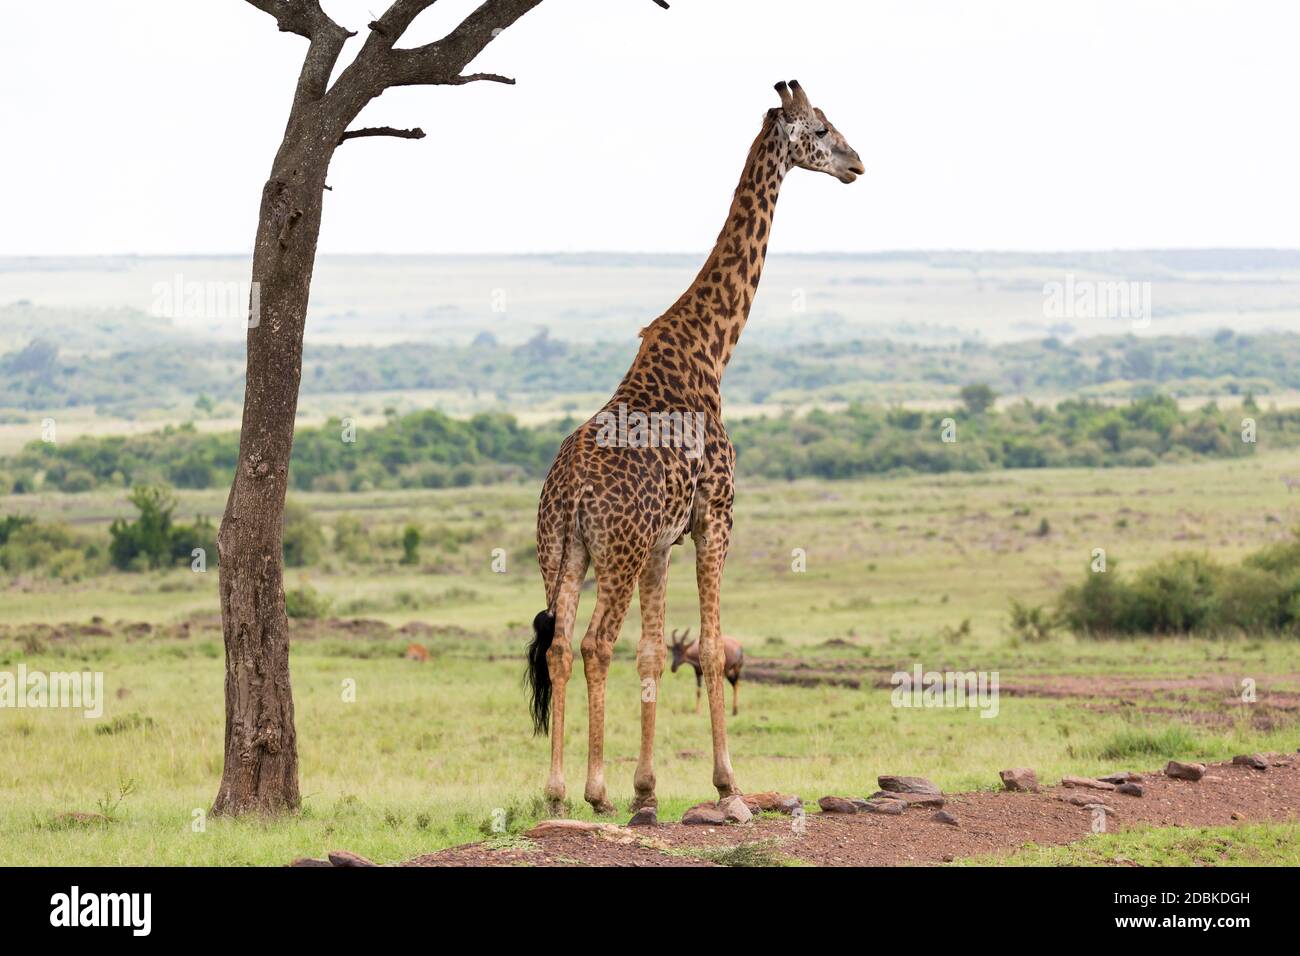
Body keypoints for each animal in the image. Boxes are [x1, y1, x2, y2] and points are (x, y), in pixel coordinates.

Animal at [526, 80, 863, 817]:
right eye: (822, 127)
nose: (858, 163)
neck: (710, 350)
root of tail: (568, 492)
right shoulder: (716, 516)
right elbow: (708, 647)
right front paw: (727, 783)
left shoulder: (661, 543)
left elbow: (654, 652)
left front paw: (647, 789)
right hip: (615, 551)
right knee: (594, 643)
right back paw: (592, 792)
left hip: (562, 550)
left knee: (560, 645)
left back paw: (558, 792)